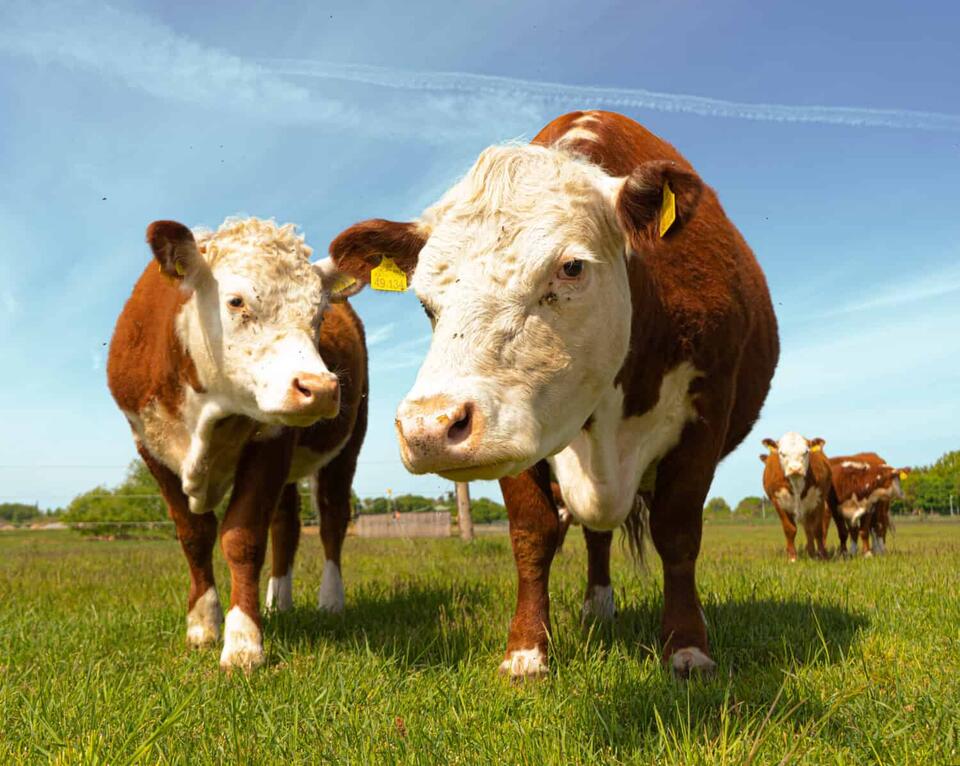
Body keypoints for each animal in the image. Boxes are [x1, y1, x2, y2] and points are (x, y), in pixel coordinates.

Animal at [107, 217, 367, 671]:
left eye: (319, 313)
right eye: (236, 301)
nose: (319, 388)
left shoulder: (273, 440)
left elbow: (242, 538)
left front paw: (243, 641)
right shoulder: (149, 446)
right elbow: (194, 534)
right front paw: (202, 624)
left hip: (347, 444)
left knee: (333, 519)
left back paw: (331, 600)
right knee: (286, 525)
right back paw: (278, 601)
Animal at [328, 110, 779, 678]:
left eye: (571, 268)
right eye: (425, 300)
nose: (429, 427)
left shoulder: (706, 410)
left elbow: (677, 533)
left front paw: (687, 648)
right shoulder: (514, 429)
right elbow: (532, 534)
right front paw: (525, 652)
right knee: (595, 532)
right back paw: (597, 605)